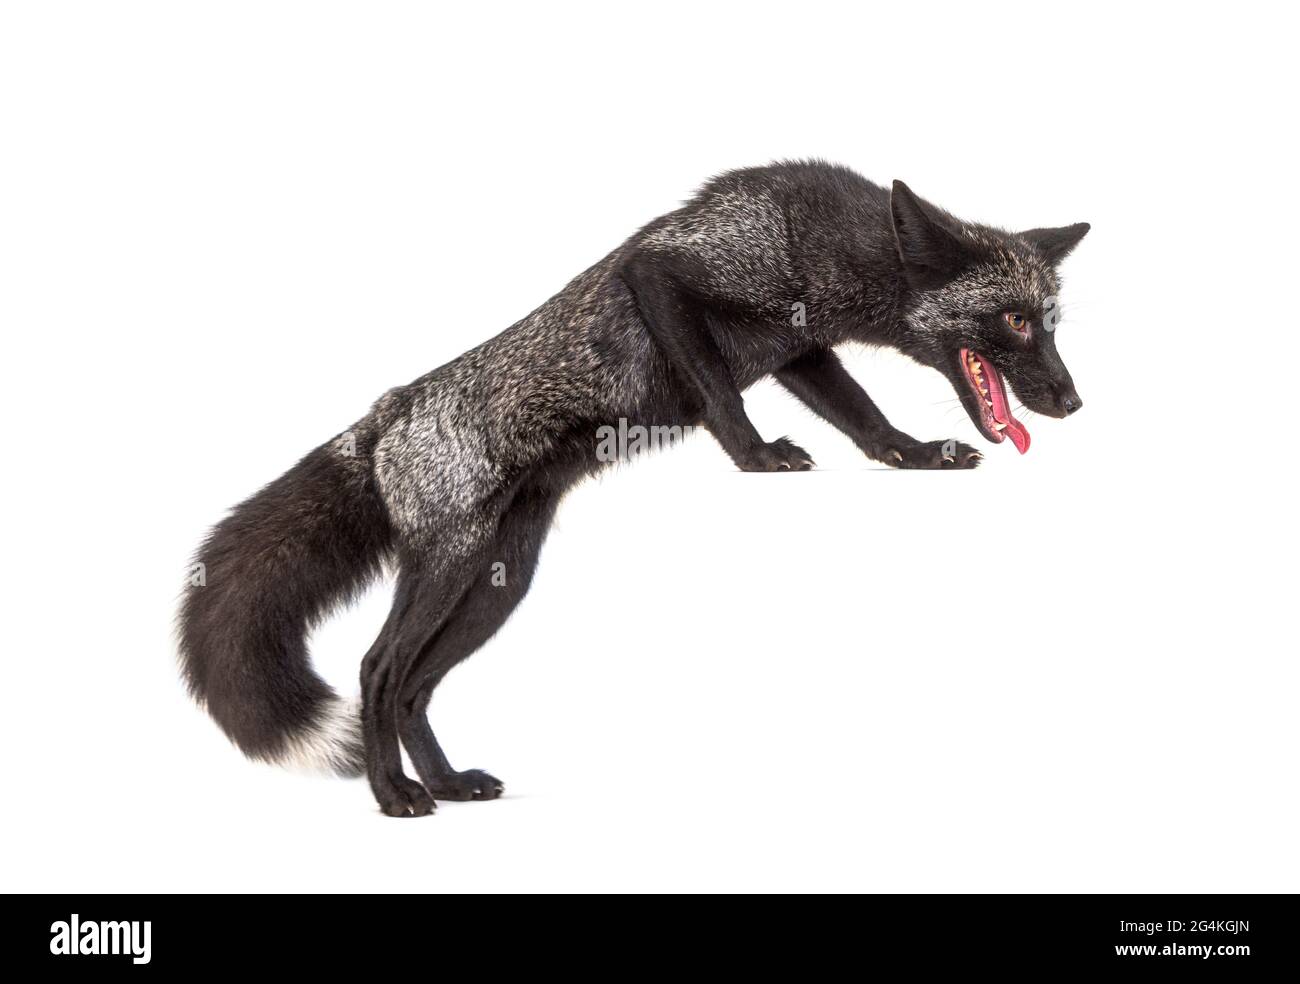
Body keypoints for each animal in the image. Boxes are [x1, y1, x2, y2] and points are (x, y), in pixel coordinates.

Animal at [179, 161, 1089, 817]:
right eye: (1014, 323)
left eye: (1050, 325)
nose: (1073, 402)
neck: (830, 247)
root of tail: (385, 414)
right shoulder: (669, 274)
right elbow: (721, 394)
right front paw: (755, 456)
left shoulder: (800, 353)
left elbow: (865, 419)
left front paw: (918, 454)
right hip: (449, 565)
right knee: (375, 670)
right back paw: (393, 796)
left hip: (499, 584)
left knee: (413, 687)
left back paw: (442, 784)